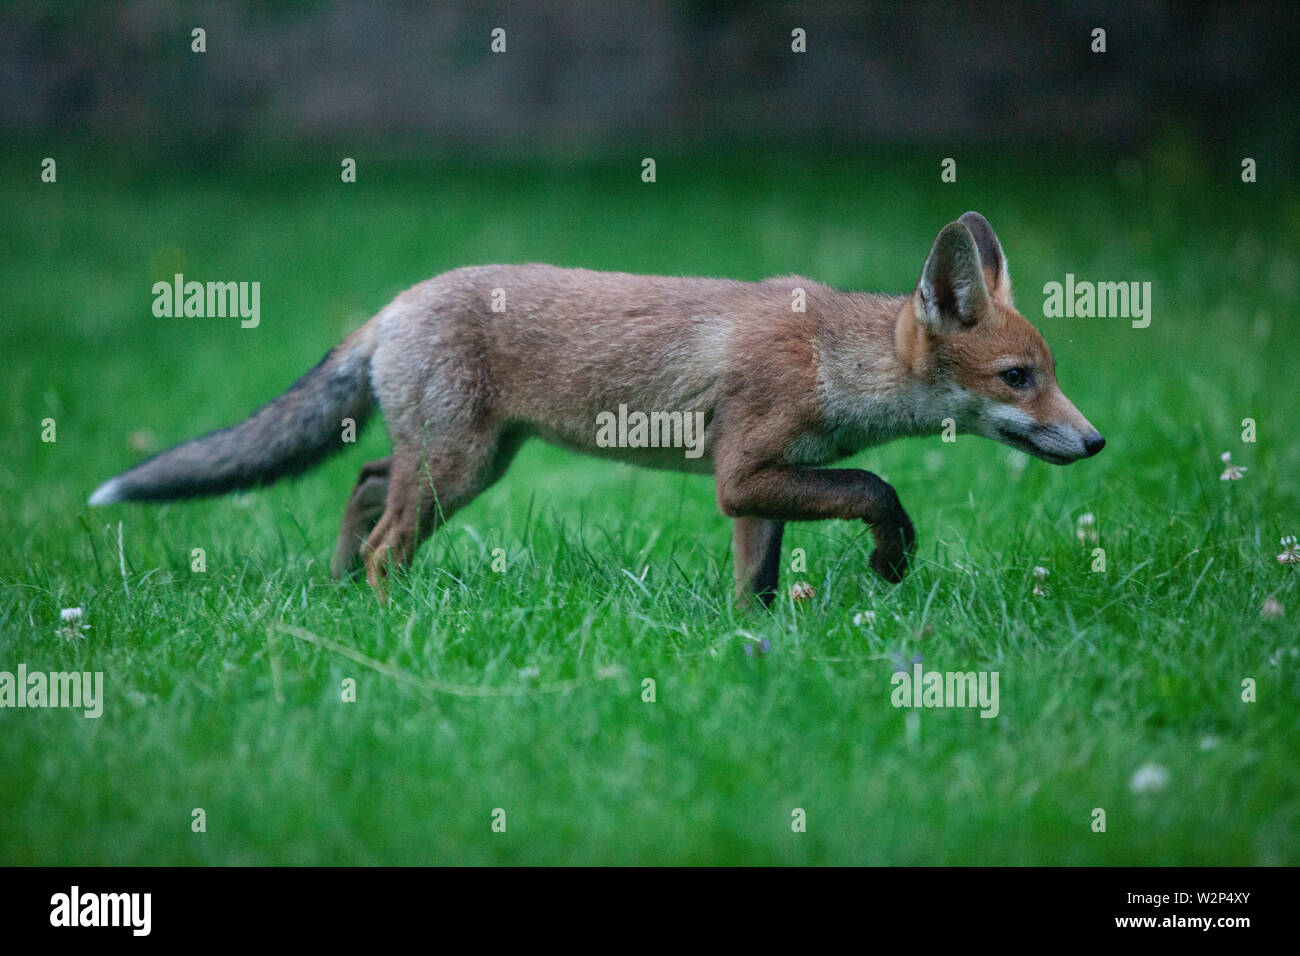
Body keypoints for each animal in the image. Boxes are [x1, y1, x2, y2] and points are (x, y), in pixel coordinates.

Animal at [89, 212, 1104, 605]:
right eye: (1019, 377)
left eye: (1047, 371)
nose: (1095, 441)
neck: (830, 360)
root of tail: (395, 302)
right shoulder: (747, 469)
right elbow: (876, 487)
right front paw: (893, 557)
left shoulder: (755, 489)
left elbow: (757, 577)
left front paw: (755, 646)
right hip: (458, 465)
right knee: (387, 536)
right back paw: (389, 617)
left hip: (466, 461)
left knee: (368, 483)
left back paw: (338, 591)